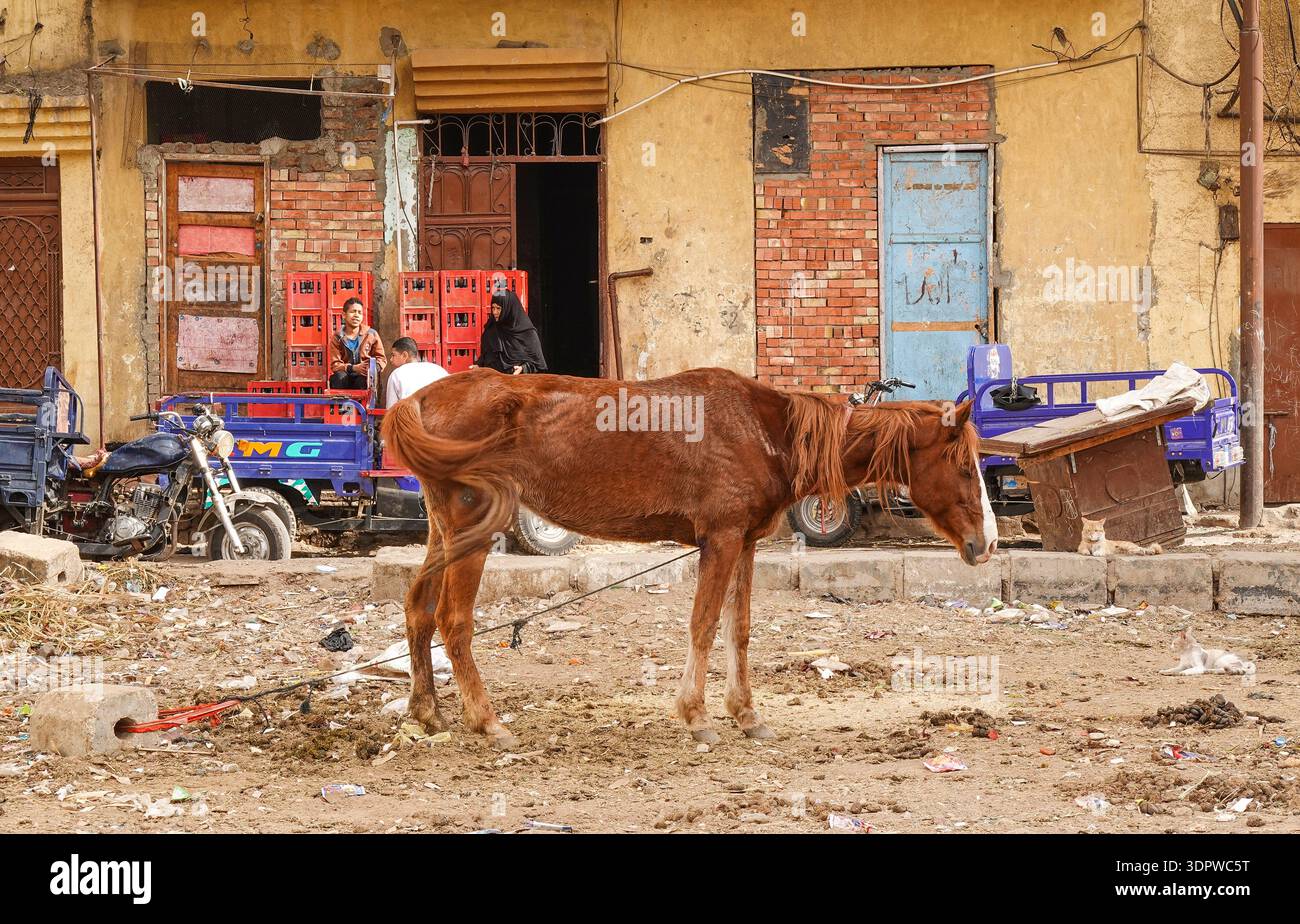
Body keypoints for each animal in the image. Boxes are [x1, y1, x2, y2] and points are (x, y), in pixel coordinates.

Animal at [382, 367, 996, 749]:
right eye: (963, 465)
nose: (986, 543)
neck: (763, 429)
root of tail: (419, 400)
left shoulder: (744, 542)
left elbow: (737, 628)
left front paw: (746, 714)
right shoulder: (720, 539)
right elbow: (702, 625)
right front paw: (697, 716)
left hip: (445, 533)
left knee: (418, 611)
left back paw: (428, 711)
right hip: (473, 533)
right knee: (453, 622)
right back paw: (486, 722)